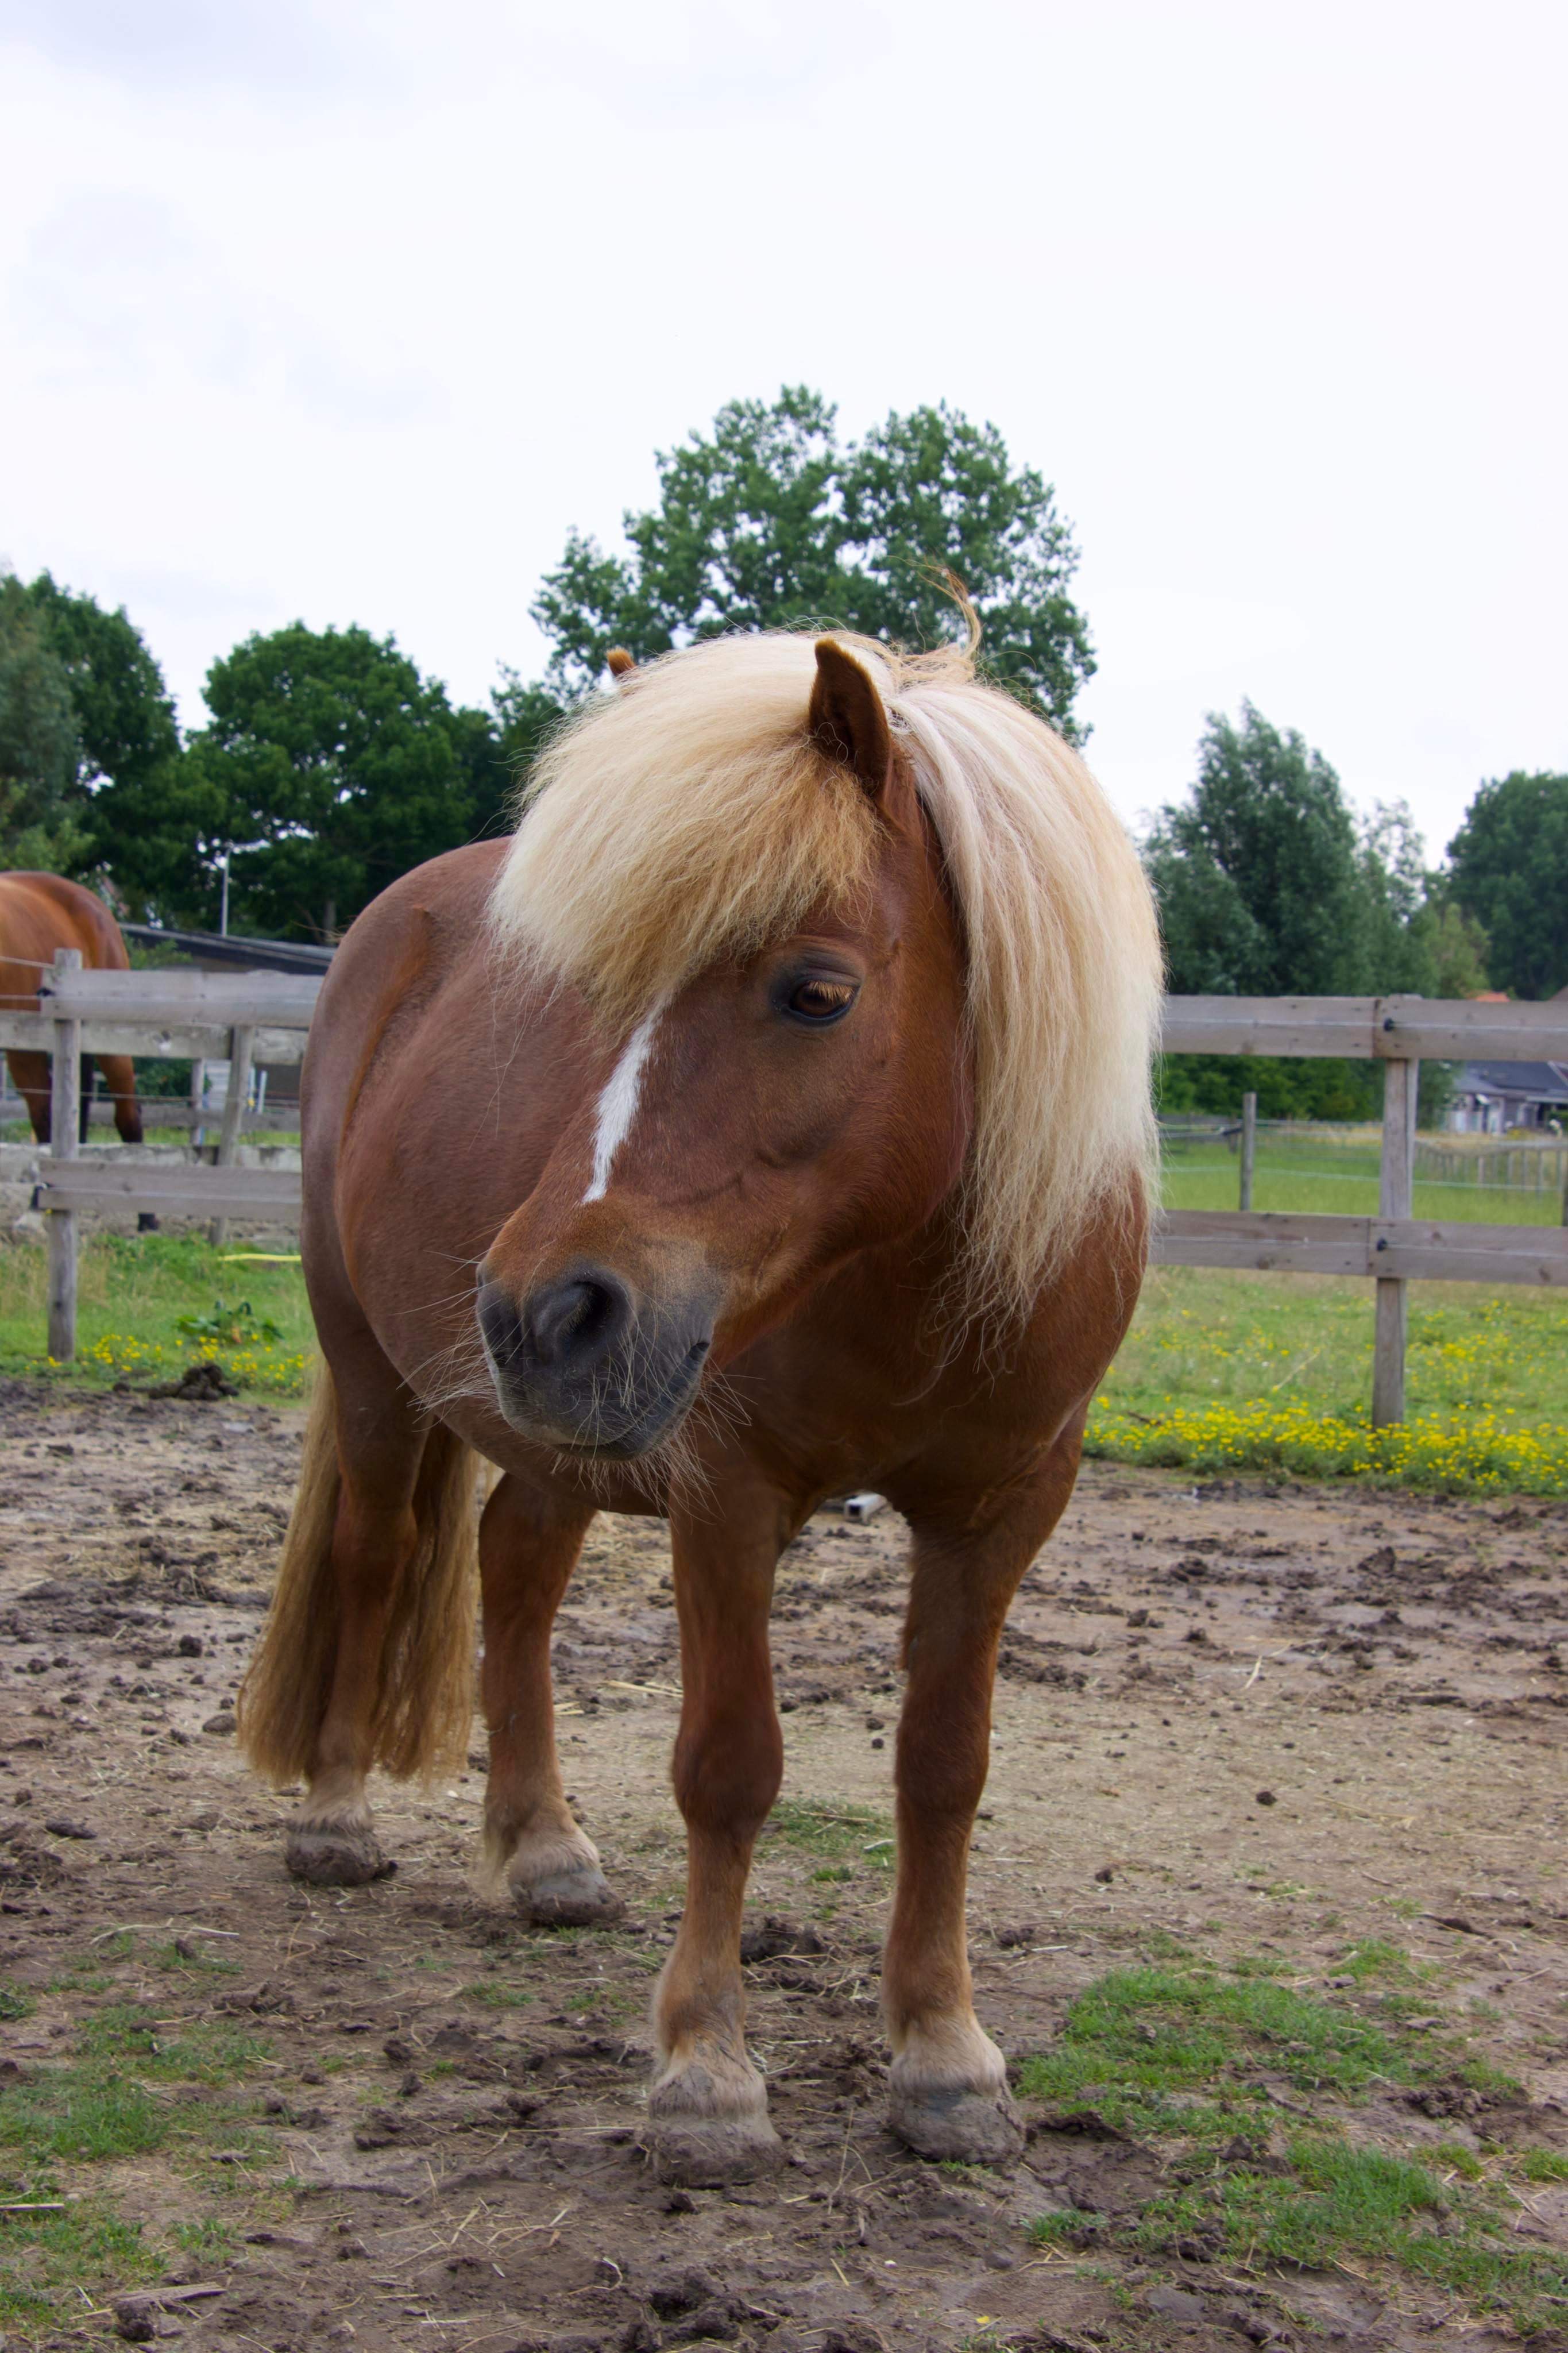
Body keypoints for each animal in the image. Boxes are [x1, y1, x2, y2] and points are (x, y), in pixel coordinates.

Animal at [237, 629, 1163, 2186]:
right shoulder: (729, 1498)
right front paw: (708, 2072)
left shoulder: (1002, 1510)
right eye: (604, 1005)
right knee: (376, 1556)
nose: (535, 1310)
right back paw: (339, 1818)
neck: (903, 1275)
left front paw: (945, 2056)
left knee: (514, 1572)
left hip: (566, 1432)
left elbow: (945, 1766)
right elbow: (729, 1767)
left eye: (816, 991)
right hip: (377, 1373)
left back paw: (540, 1847)